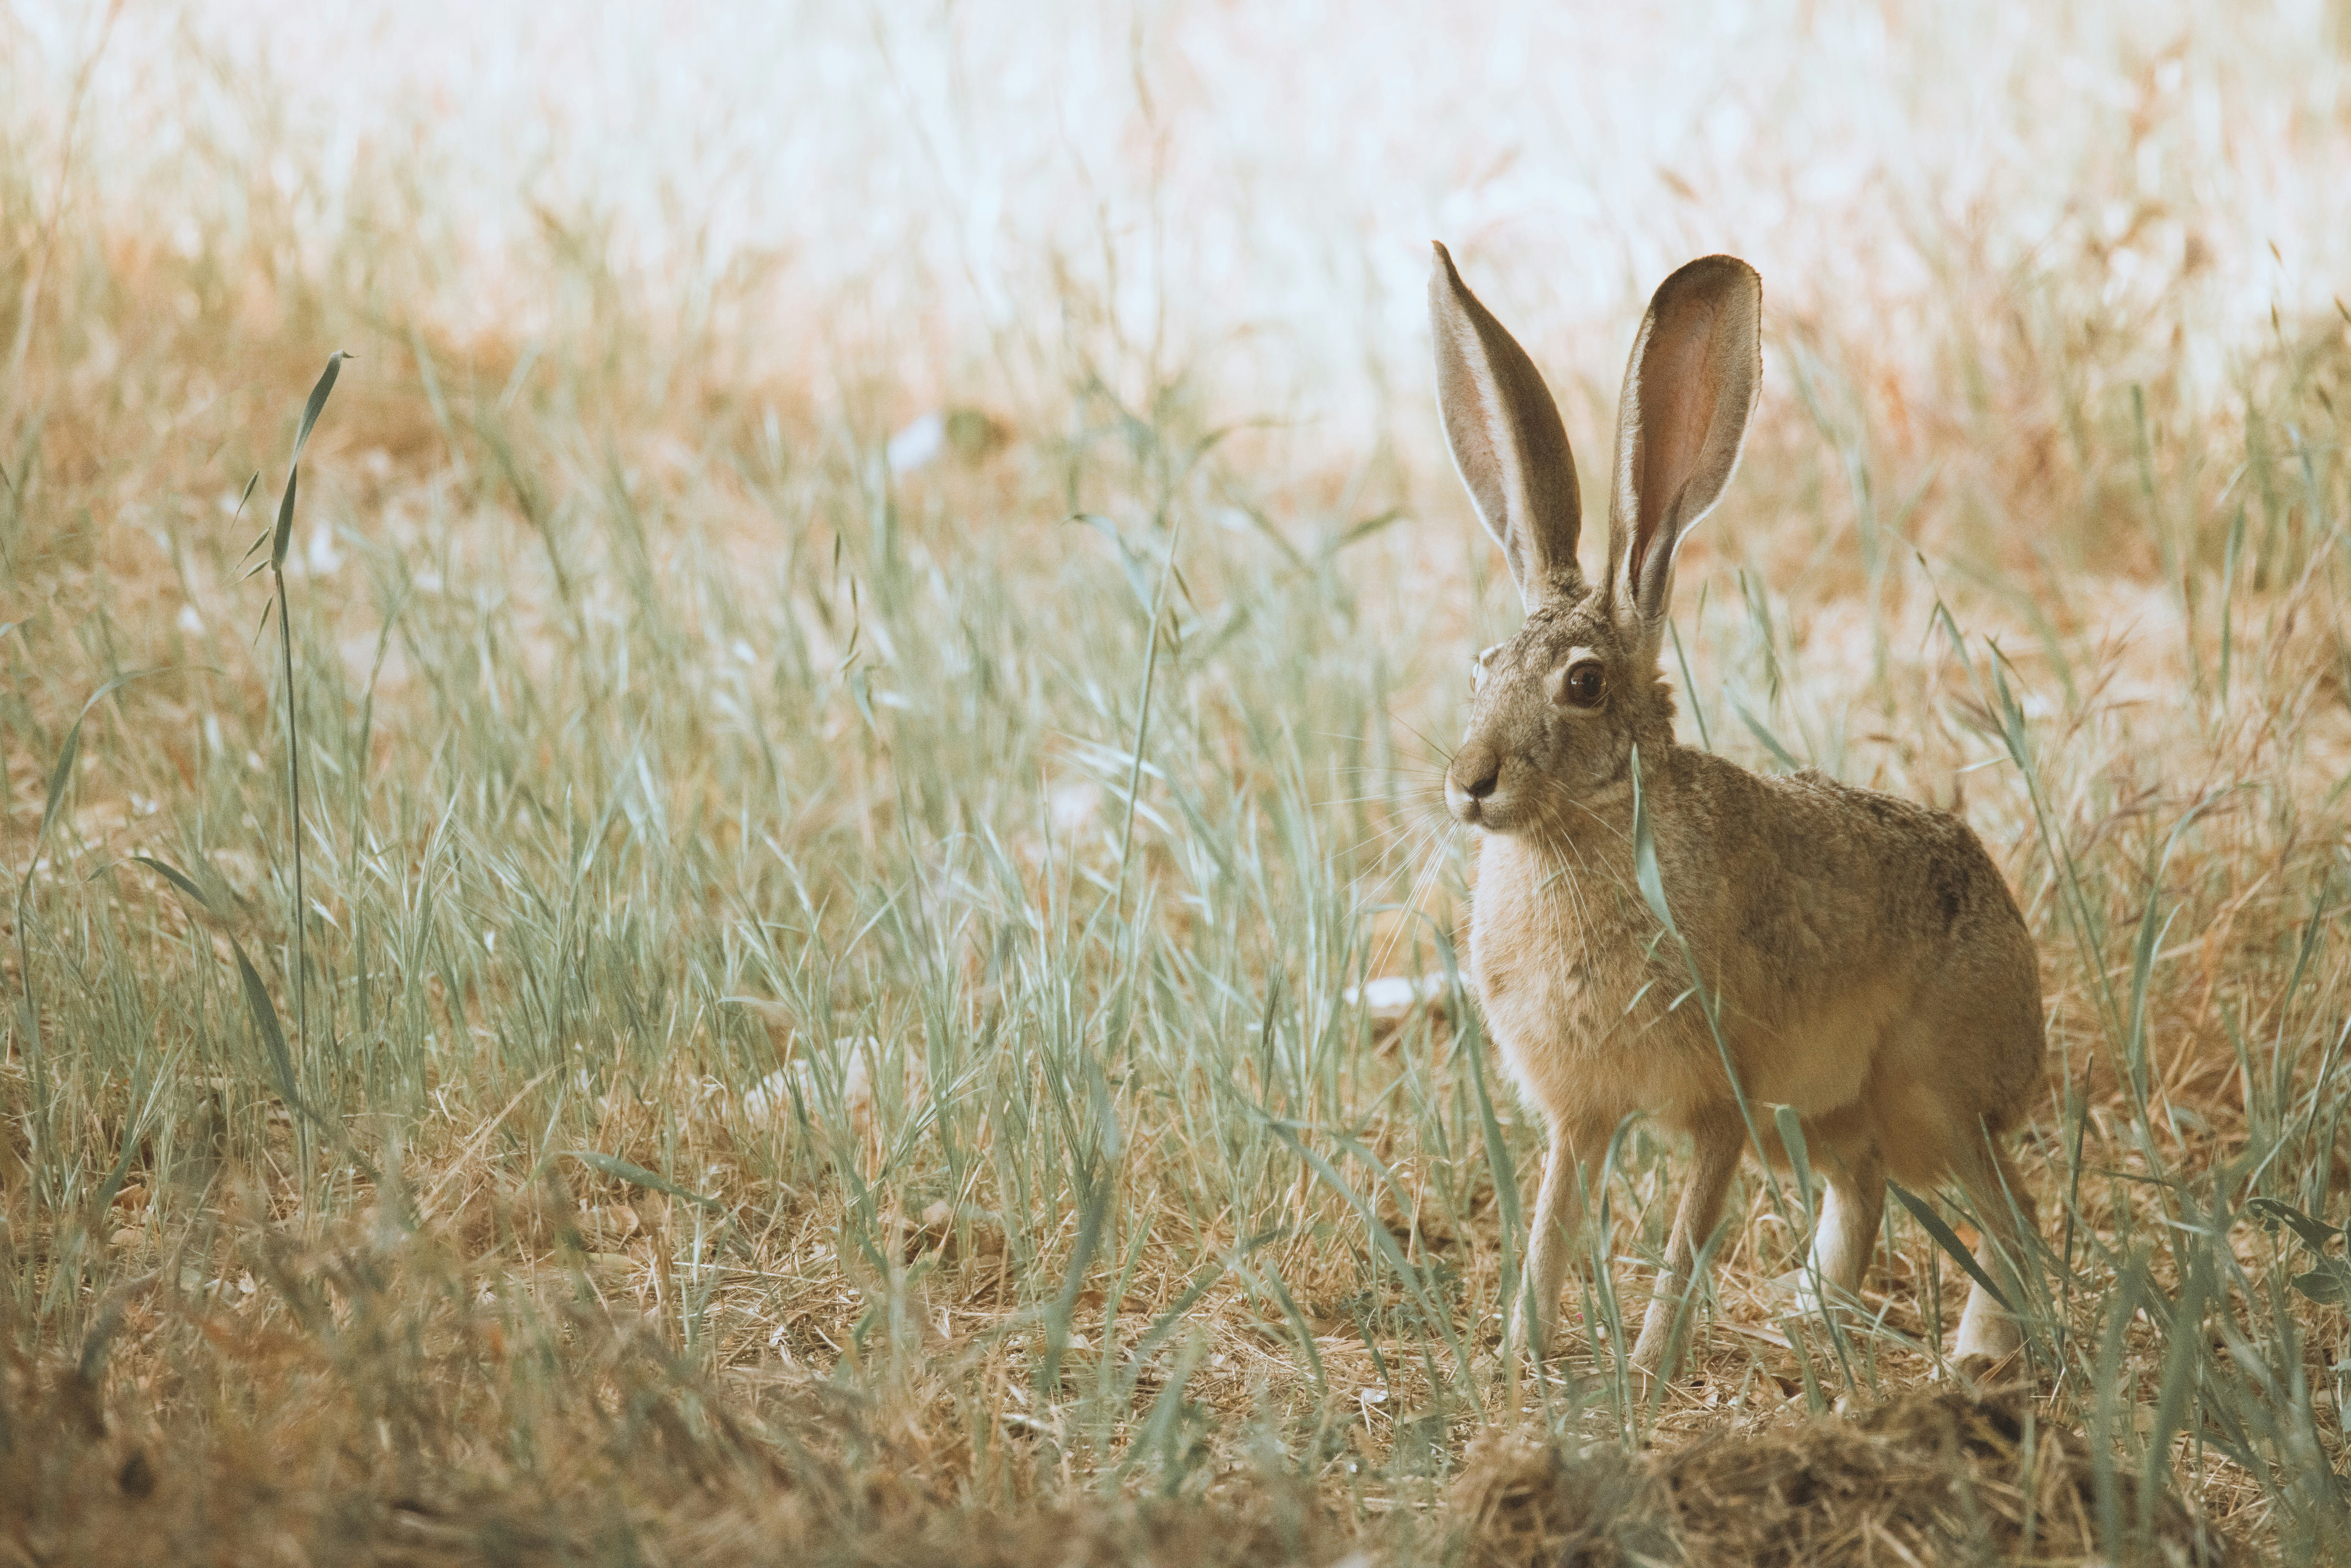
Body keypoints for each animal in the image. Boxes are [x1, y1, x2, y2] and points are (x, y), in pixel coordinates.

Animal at [1428, 242, 2044, 1374]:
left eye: (1583, 685)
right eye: (1482, 668)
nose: (1470, 781)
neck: (1585, 833)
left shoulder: (1724, 1096)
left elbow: (1684, 1236)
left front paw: (1645, 1368)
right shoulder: (1581, 1112)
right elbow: (1551, 1225)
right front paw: (1518, 1355)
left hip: (1930, 1096)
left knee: (2007, 1213)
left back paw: (1971, 1359)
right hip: (1828, 1115)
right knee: (1865, 1191)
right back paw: (1808, 1314)